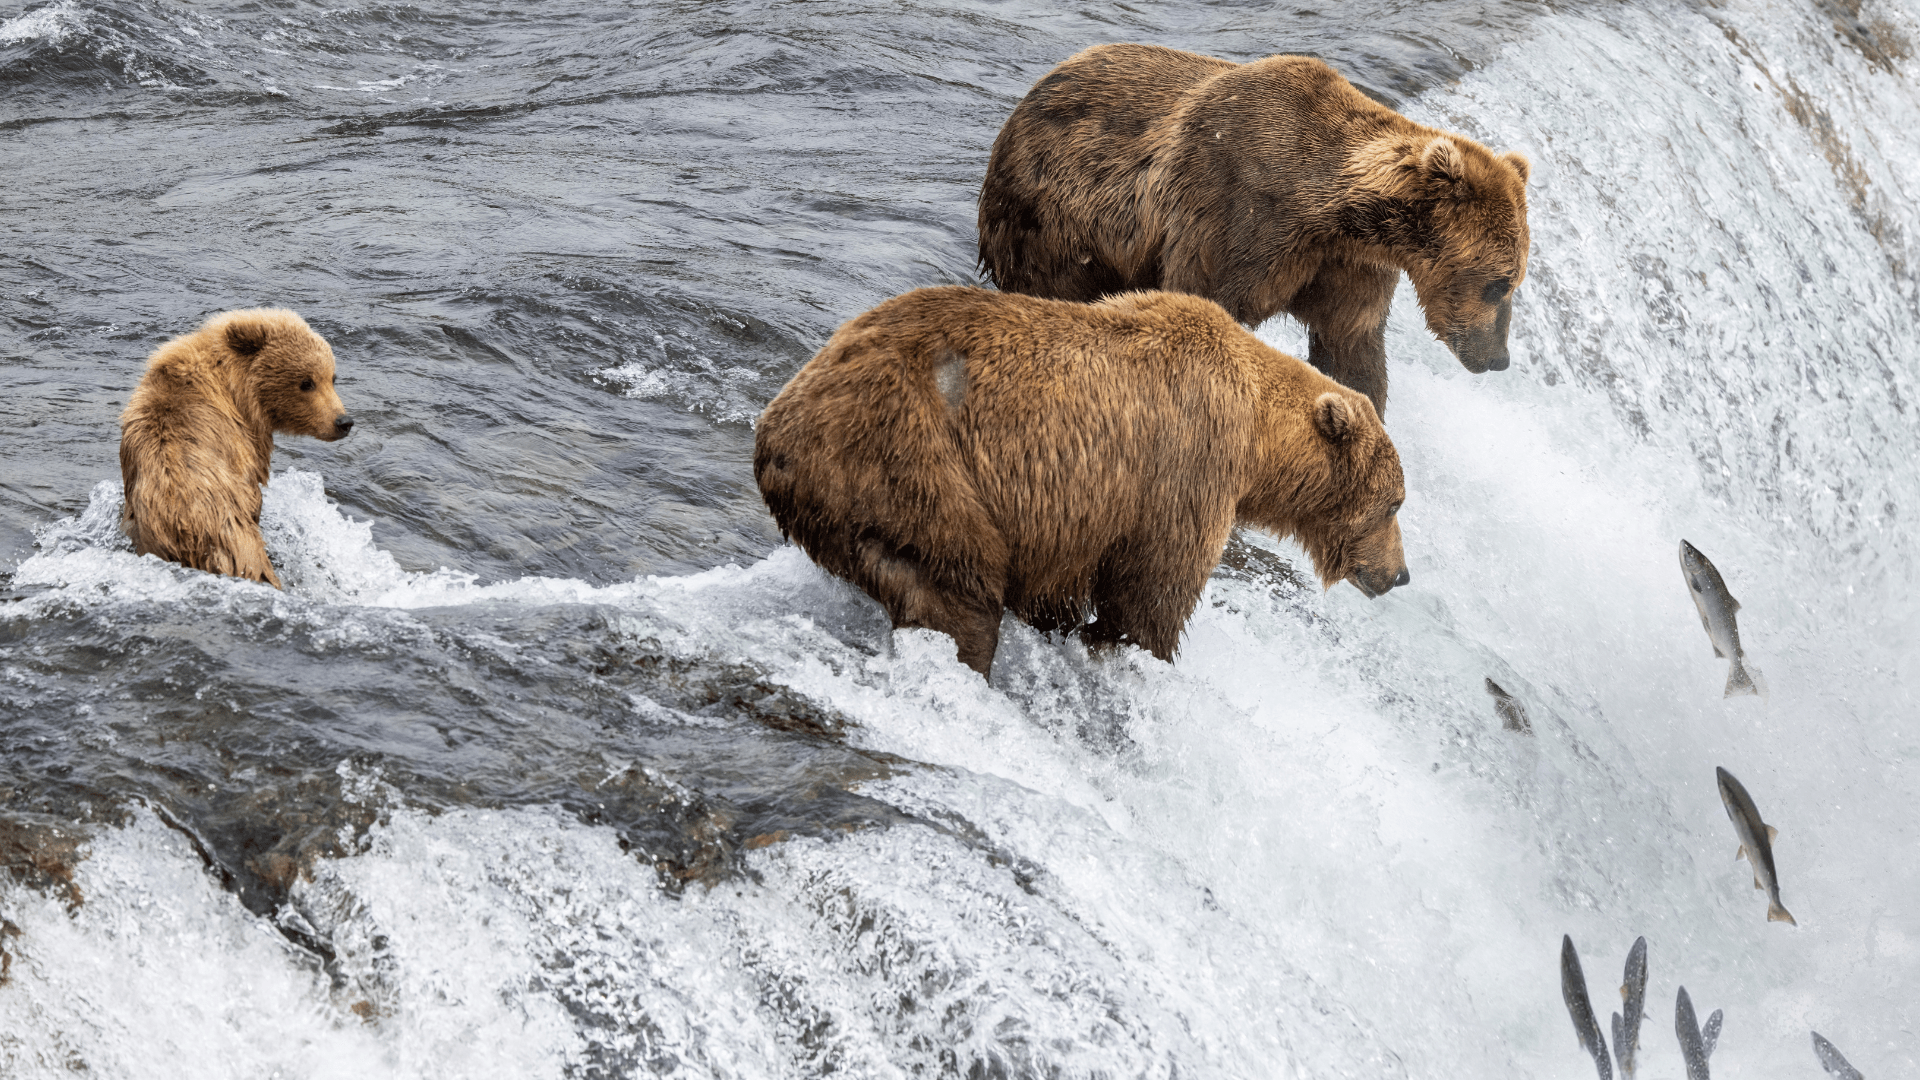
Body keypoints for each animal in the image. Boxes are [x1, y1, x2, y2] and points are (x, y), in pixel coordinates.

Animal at [753, 286, 1408, 677]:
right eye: (1395, 503)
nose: (1399, 574)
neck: (1257, 441)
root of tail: (774, 434)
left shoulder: (1080, 523)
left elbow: (1064, 593)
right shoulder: (1185, 471)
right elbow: (1151, 596)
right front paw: (1133, 647)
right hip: (911, 469)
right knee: (958, 596)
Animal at [976, 43, 1532, 416]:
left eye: (1516, 281)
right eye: (1499, 283)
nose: (1499, 358)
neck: (1333, 212)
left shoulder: (1347, 267)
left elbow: (1352, 352)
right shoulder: (1233, 212)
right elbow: (1204, 309)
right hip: (1055, 222)